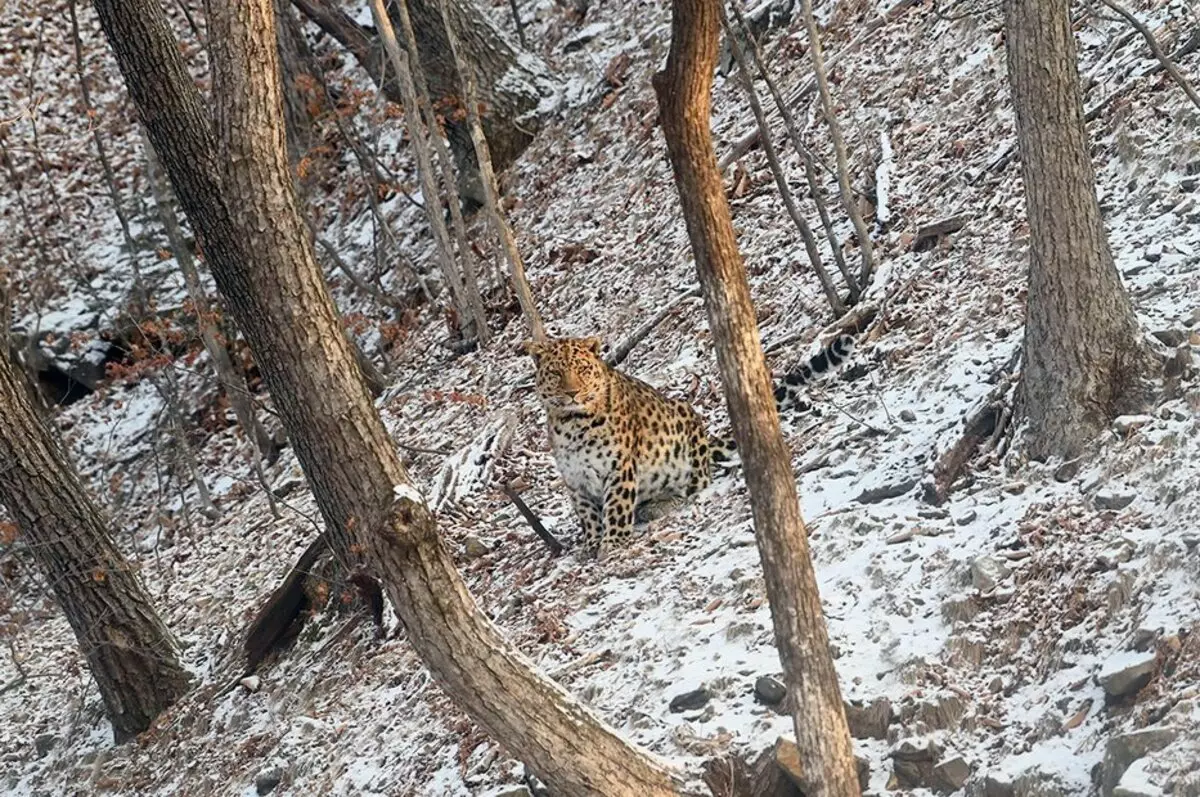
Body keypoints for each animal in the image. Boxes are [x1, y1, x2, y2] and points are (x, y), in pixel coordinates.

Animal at [523, 333, 854, 556]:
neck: (572, 423)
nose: (572, 393)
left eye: (582, 370)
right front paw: (592, 543)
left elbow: (616, 506)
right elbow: (588, 515)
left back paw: (658, 505)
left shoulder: (619, 467)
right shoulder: (575, 479)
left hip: (686, 431)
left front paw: (613, 543)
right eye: (556, 373)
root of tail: (706, 442)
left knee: (698, 482)